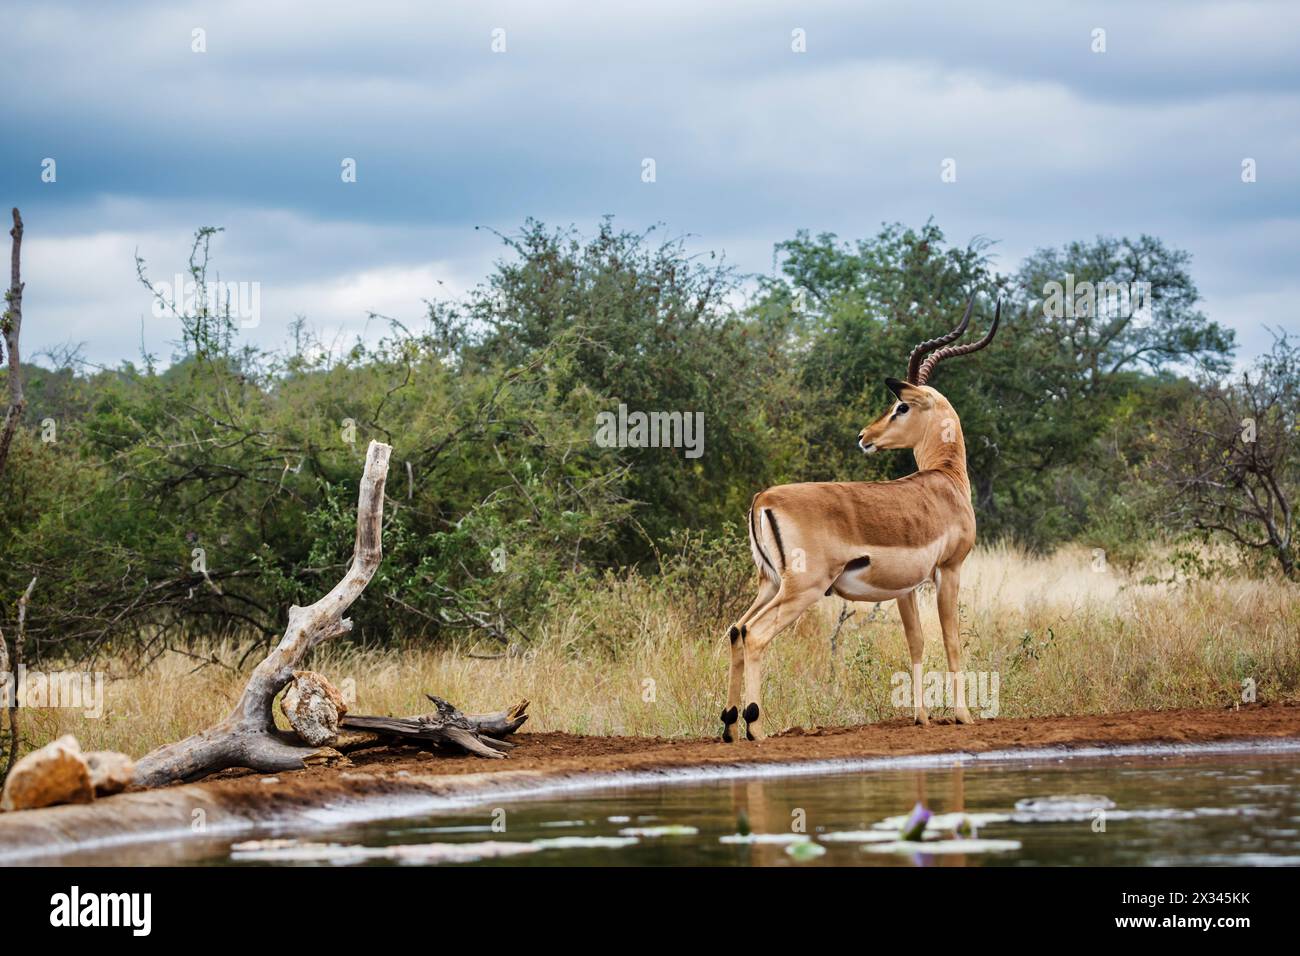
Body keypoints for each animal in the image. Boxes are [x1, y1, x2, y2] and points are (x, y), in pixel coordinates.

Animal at [721, 296, 1000, 742]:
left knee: (735, 628)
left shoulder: (905, 588)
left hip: (770, 584)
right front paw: (963, 716)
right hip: (803, 588)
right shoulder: (949, 569)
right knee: (755, 635)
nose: (863, 437)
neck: (946, 481)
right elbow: (951, 640)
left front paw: (921, 718)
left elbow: (916, 642)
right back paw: (756, 729)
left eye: (901, 406)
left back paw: (729, 727)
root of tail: (763, 498)